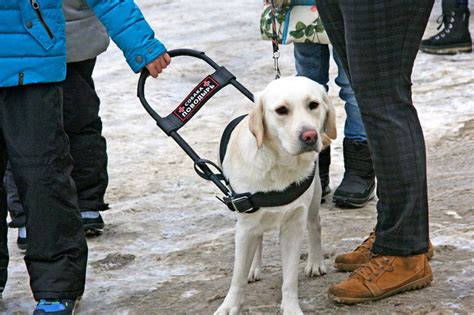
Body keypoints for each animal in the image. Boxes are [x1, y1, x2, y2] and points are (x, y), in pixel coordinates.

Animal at [215, 77, 336, 315]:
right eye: (281, 110)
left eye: (313, 105)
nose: (310, 136)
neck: (279, 164)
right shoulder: (245, 225)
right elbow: (237, 276)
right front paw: (229, 306)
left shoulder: (293, 225)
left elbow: (289, 278)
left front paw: (290, 307)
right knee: (258, 237)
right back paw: (253, 267)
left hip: (315, 195)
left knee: (315, 225)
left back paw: (315, 262)